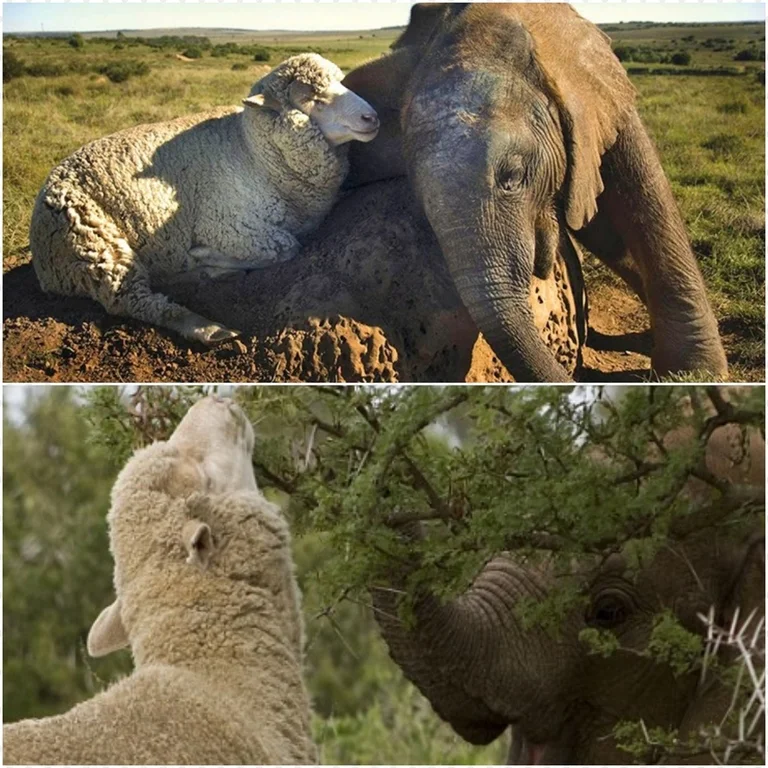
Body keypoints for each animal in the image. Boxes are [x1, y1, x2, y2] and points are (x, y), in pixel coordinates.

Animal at [30, 53, 380, 346]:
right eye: (312, 99)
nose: (372, 117)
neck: (253, 151)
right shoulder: (227, 226)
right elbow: (286, 247)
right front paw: (206, 257)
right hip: (92, 243)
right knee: (130, 300)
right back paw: (209, 322)